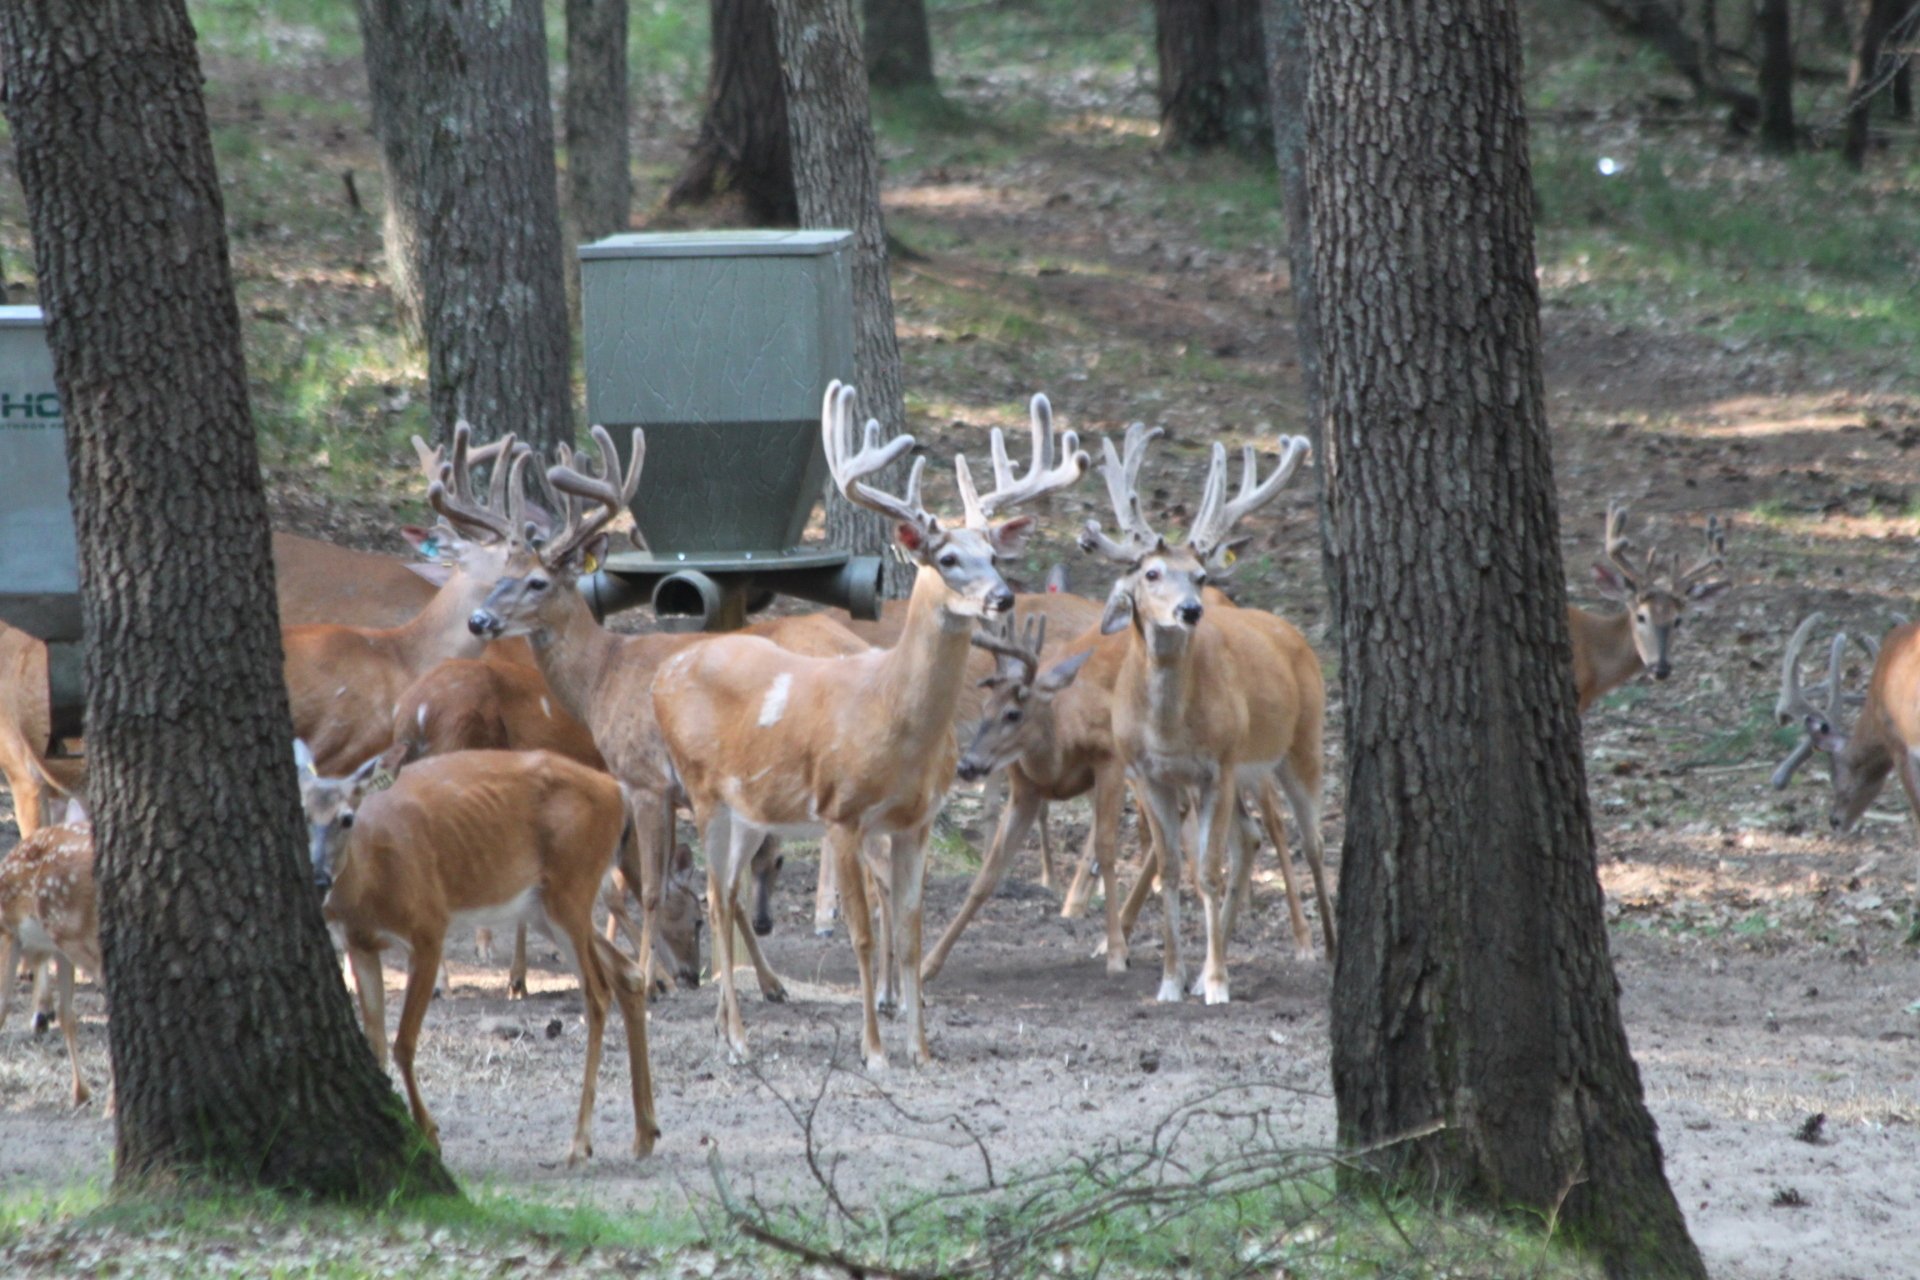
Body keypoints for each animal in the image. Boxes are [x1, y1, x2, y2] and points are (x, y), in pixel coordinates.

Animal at [0, 818, 100, 1106]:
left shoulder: (9, 931)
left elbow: (2, 1005)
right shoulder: (59, 952)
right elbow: (68, 1016)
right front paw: (81, 1093)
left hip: (80, 934)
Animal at [295, 744, 657, 1163]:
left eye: (346, 818)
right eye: (301, 813)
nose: (318, 876)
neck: (368, 883)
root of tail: (618, 792)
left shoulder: (429, 927)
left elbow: (404, 1044)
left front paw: (429, 1136)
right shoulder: (359, 946)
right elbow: (377, 1045)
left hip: (572, 886)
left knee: (597, 993)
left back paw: (580, 1143)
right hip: (542, 907)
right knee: (628, 973)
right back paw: (645, 1134)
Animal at [652, 381, 1086, 1069]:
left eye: (994, 553)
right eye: (947, 557)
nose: (1003, 597)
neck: (894, 719)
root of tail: (664, 671)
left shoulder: (915, 822)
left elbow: (908, 931)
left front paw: (922, 1049)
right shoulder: (843, 813)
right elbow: (859, 933)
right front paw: (875, 1050)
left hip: (751, 808)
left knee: (724, 895)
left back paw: (726, 1030)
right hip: (702, 791)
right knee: (718, 899)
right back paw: (739, 1041)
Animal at [1079, 421, 1326, 1004]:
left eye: (1200, 575)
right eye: (1150, 573)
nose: (1190, 611)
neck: (1168, 730)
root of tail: (1291, 632)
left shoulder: (1222, 763)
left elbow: (1208, 871)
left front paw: (1215, 982)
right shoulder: (1148, 773)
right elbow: (1173, 870)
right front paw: (1173, 980)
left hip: (1299, 746)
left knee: (1314, 842)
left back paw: (1323, 947)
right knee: (1250, 837)